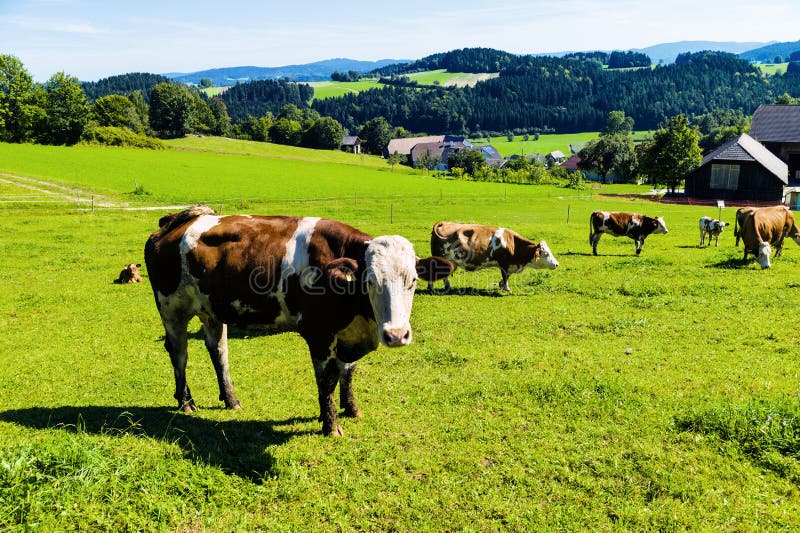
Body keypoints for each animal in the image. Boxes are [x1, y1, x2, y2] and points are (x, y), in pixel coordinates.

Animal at [144, 205, 452, 436]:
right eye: (370, 281)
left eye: (413, 281)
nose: (396, 335)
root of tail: (175, 223)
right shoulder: (319, 334)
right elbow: (327, 379)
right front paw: (330, 425)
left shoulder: (349, 333)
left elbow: (348, 371)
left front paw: (351, 408)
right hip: (172, 310)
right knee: (179, 353)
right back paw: (186, 402)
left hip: (212, 312)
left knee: (219, 353)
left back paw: (231, 400)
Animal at [429, 221, 559, 292]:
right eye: (546, 253)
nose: (557, 264)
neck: (513, 243)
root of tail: (443, 222)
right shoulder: (504, 263)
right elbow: (505, 276)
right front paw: (507, 289)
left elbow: (506, 277)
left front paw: (501, 285)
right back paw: (432, 288)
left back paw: (448, 287)